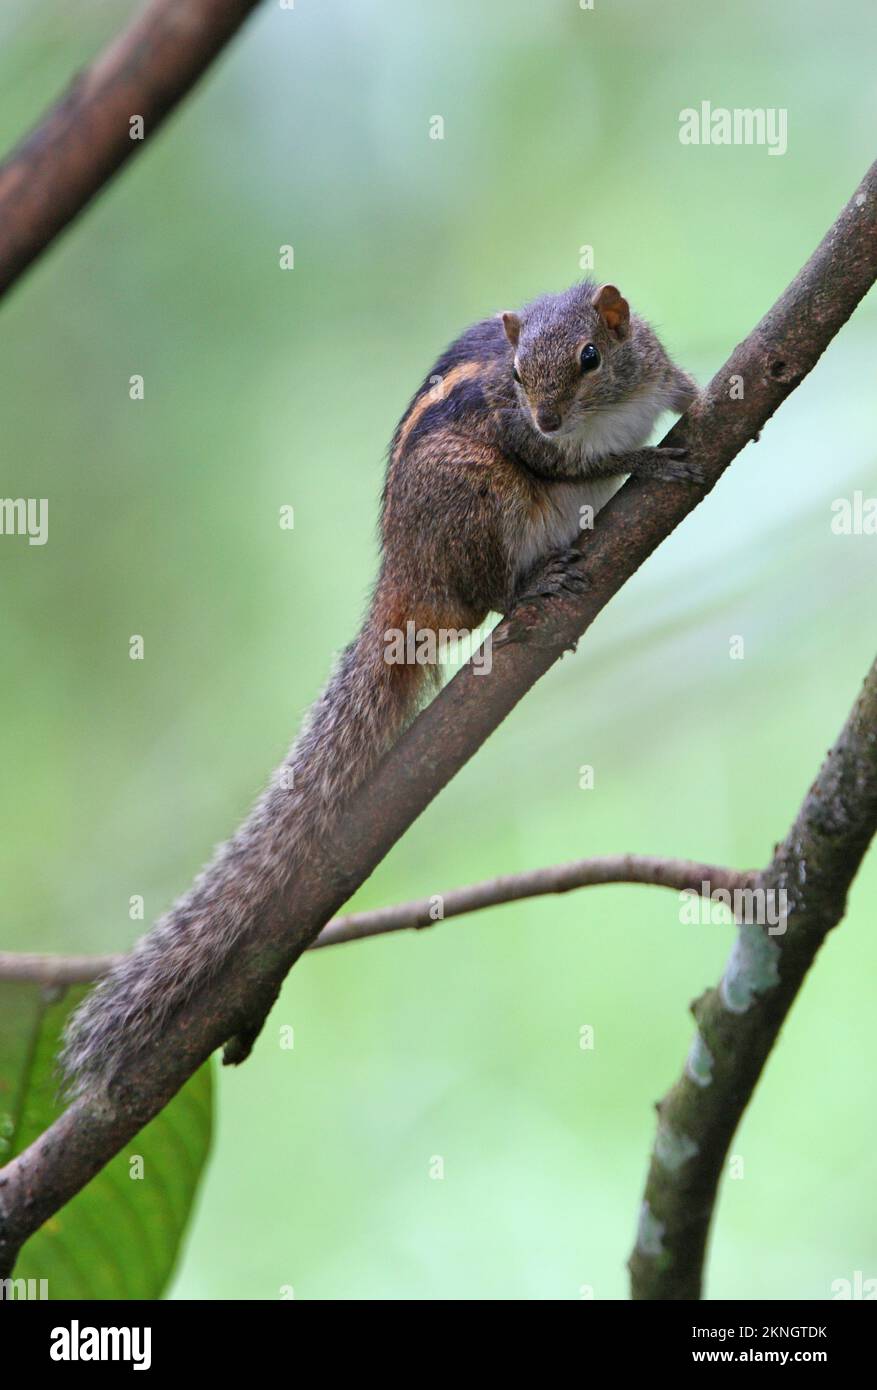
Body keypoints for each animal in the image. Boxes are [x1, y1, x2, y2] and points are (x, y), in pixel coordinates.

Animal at [61, 279, 698, 1094]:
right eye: (518, 375)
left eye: (591, 356)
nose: (549, 418)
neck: (596, 412)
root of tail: (400, 577)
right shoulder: (523, 440)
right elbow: (574, 465)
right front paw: (646, 460)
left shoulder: (646, 364)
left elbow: (673, 387)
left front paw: (694, 399)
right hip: (473, 494)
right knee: (485, 593)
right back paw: (528, 586)